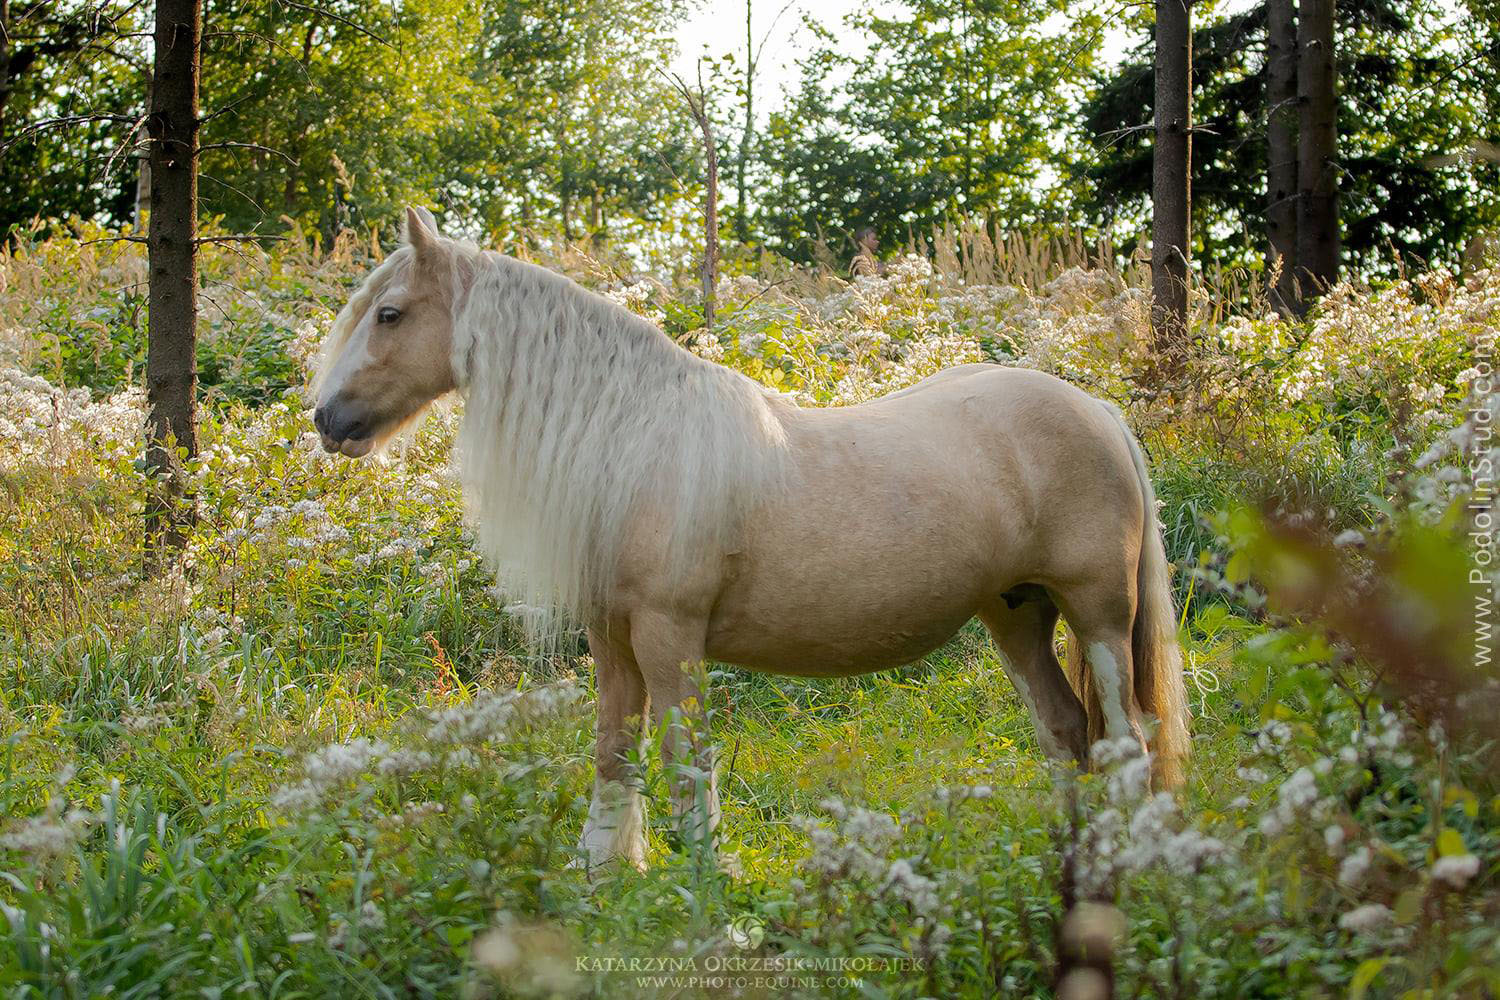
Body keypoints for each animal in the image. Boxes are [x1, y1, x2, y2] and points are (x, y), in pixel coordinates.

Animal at [313, 207, 1190, 870]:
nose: (327, 420)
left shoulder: (668, 636)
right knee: (1065, 731)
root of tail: (1097, 411)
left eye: (389, 313)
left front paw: (705, 885)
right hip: (1015, 616)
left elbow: (685, 763)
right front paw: (603, 872)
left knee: (1125, 739)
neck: (634, 442)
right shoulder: (613, 641)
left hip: (1099, 617)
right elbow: (613, 751)